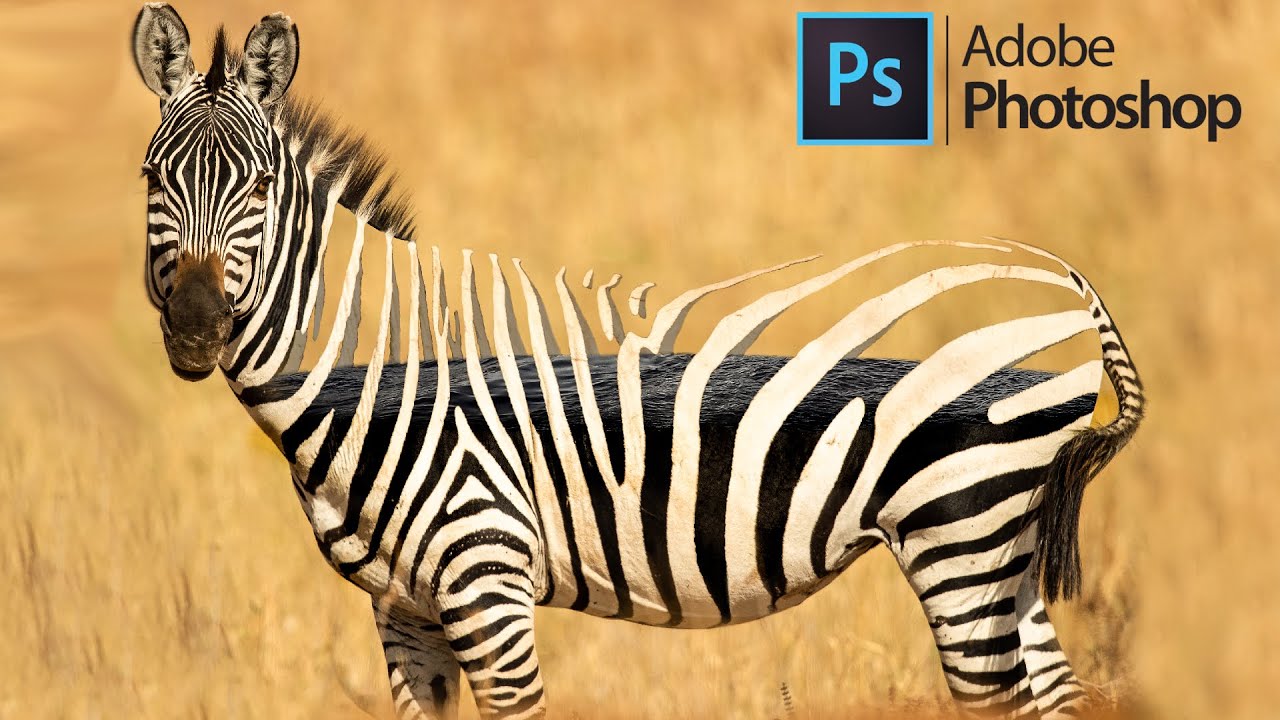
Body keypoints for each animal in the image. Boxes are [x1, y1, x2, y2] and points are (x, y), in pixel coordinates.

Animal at [130, 5, 1144, 719]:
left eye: (260, 184)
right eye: (151, 179)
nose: (195, 328)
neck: (383, 371)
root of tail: (1061, 274)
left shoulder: (487, 577)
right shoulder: (403, 609)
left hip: (959, 523)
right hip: (1000, 539)